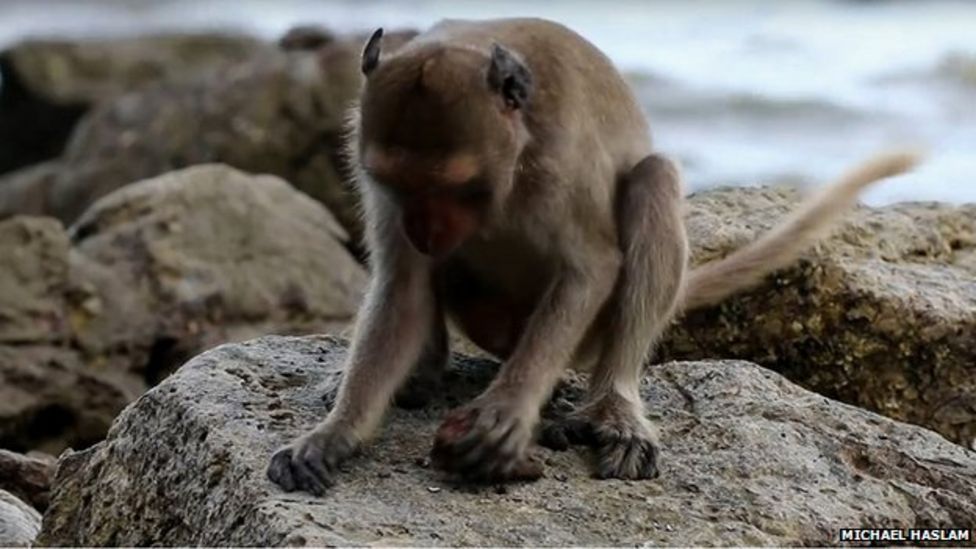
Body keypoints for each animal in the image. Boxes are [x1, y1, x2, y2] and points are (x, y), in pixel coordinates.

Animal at [266, 18, 920, 494]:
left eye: (456, 188)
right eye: (399, 184)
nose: (424, 229)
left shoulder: (561, 162)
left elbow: (590, 269)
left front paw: (508, 410)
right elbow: (402, 286)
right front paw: (336, 432)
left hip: (585, 335)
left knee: (653, 181)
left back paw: (613, 407)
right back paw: (420, 373)